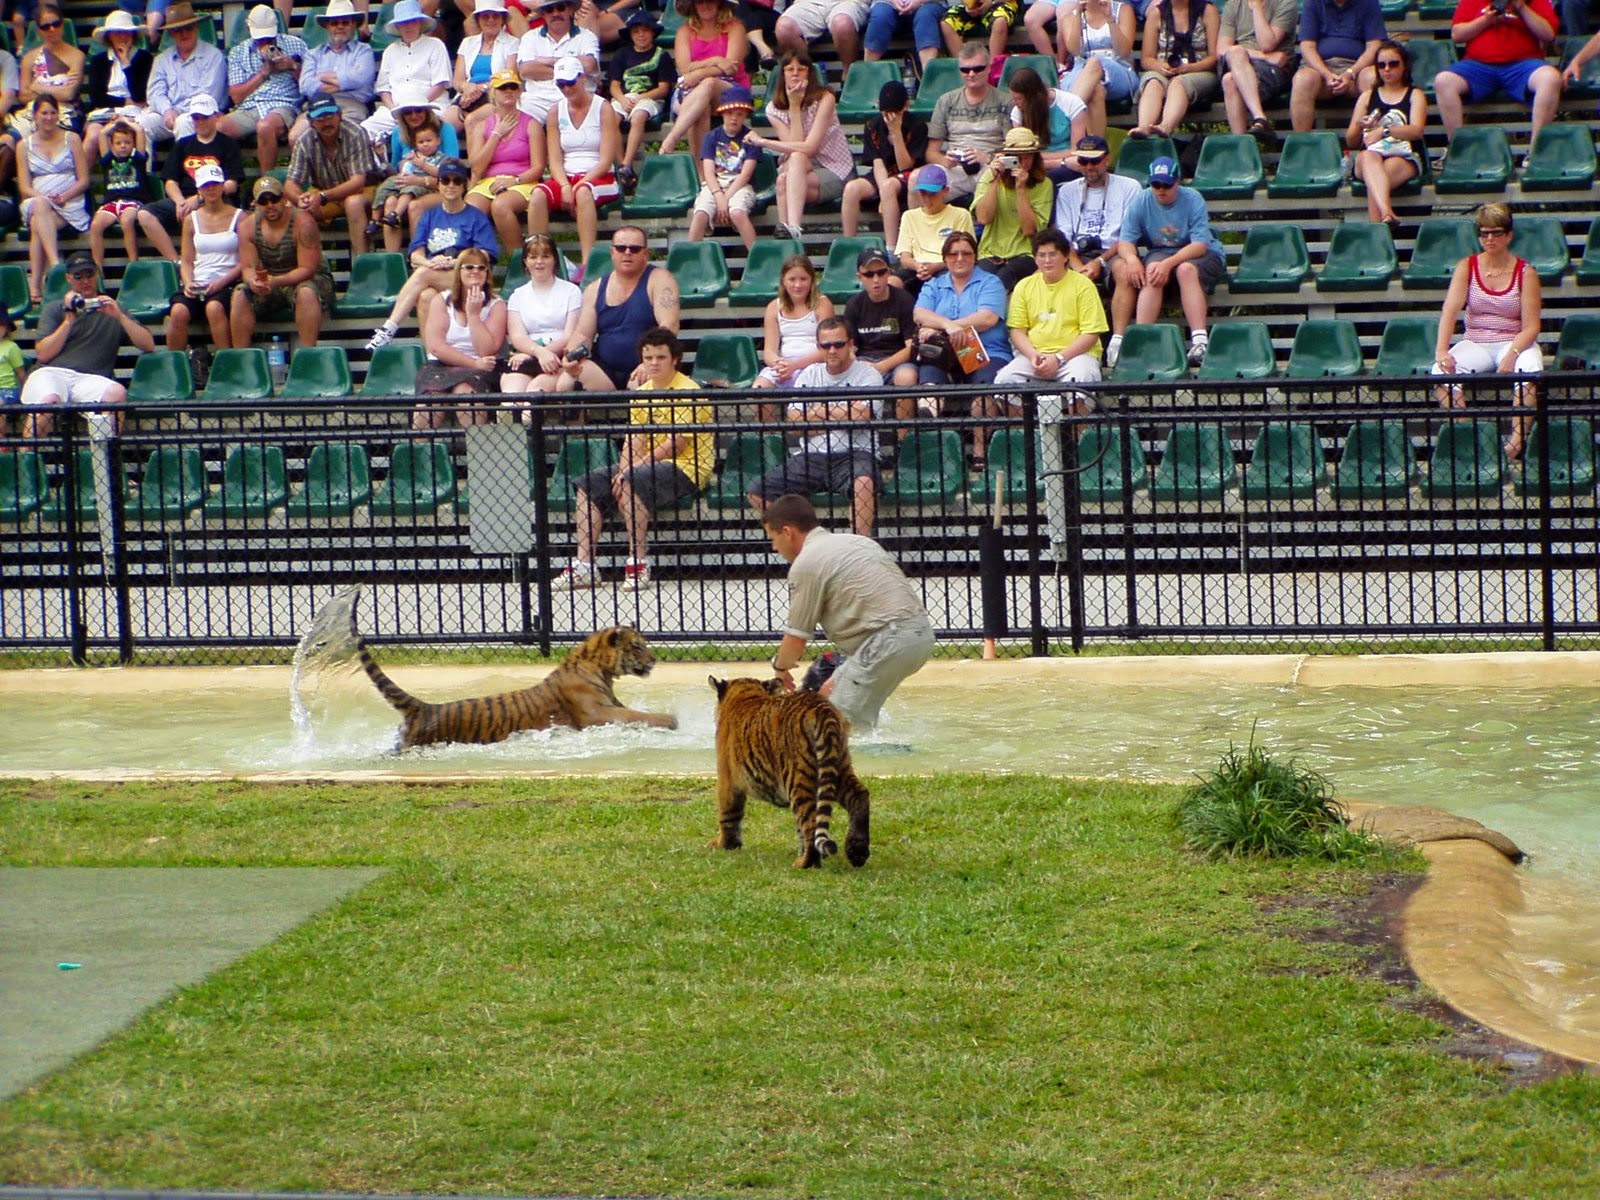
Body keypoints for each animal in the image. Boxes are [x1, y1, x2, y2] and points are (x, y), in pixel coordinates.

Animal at [344, 597, 676, 749]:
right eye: (638, 647)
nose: (655, 659)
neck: (600, 668)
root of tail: (424, 707)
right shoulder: (597, 714)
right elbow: (637, 715)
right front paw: (670, 719)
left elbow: (635, 712)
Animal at [708, 676, 870, 869]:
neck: (746, 693)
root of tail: (821, 708)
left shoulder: (727, 779)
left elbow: (728, 815)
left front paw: (724, 845)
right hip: (838, 765)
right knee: (859, 796)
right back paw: (857, 851)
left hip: (797, 778)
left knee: (810, 823)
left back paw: (805, 863)